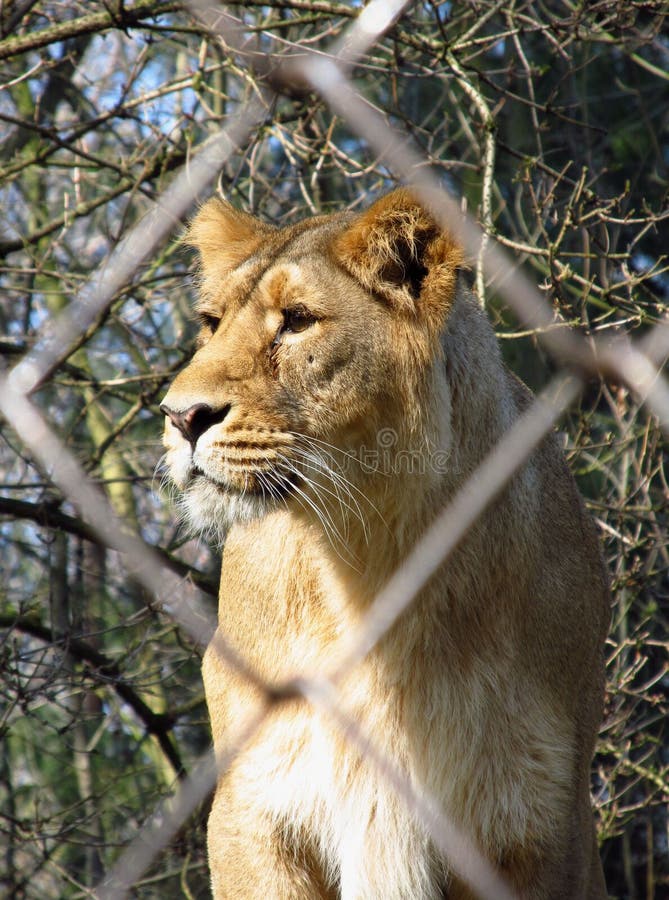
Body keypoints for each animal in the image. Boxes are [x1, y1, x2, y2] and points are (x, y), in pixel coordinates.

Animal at [160, 189, 611, 899]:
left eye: (297, 321)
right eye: (210, 323)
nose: (179, 417)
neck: (368, 555)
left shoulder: (539, 824)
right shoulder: (253, 810)